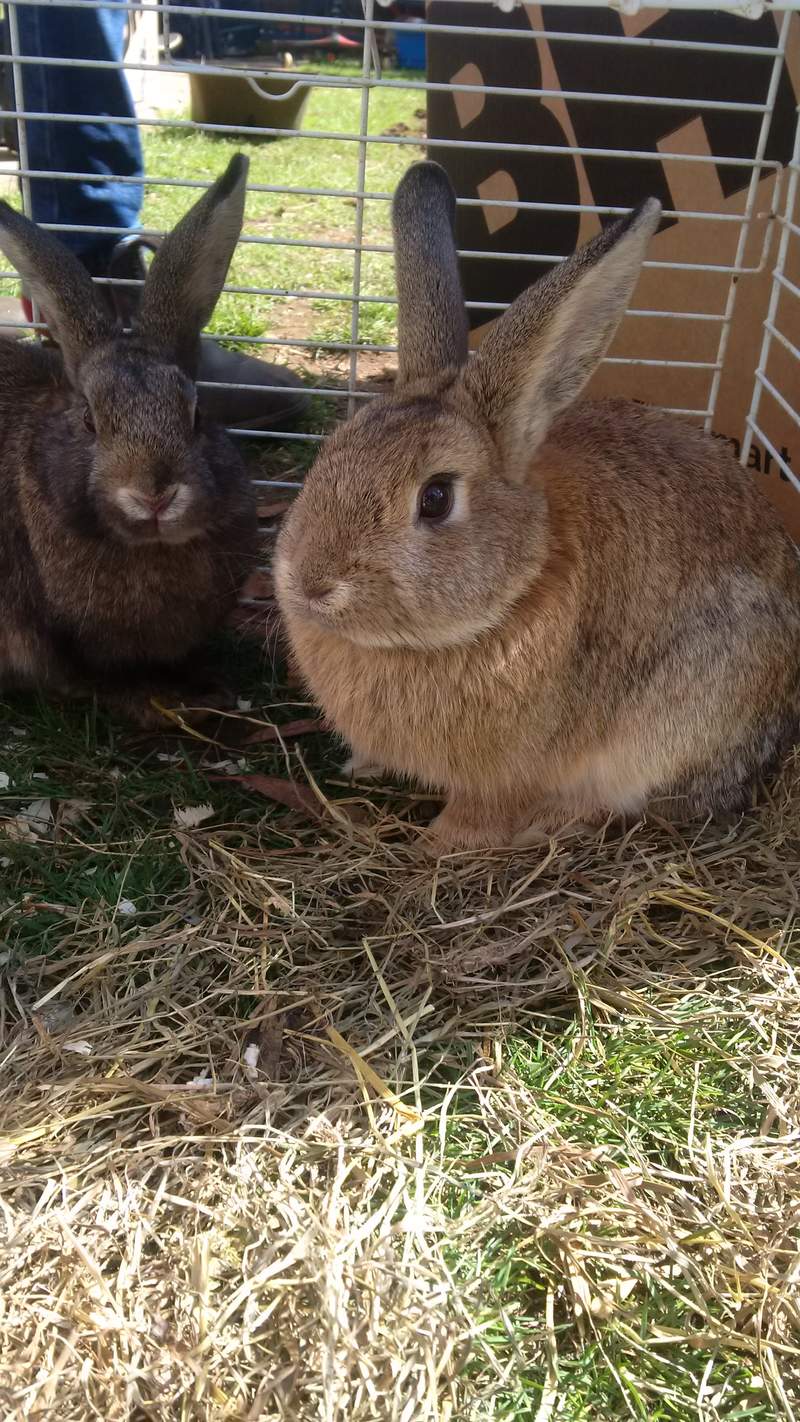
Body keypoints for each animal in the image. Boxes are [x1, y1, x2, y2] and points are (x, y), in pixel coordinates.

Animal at [275, 160, 800, 849]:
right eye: (330, 454)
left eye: (436, 498)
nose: (310, 585)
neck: (513, 591)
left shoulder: (508, 775)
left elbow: (486, 810)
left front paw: (443, 841)